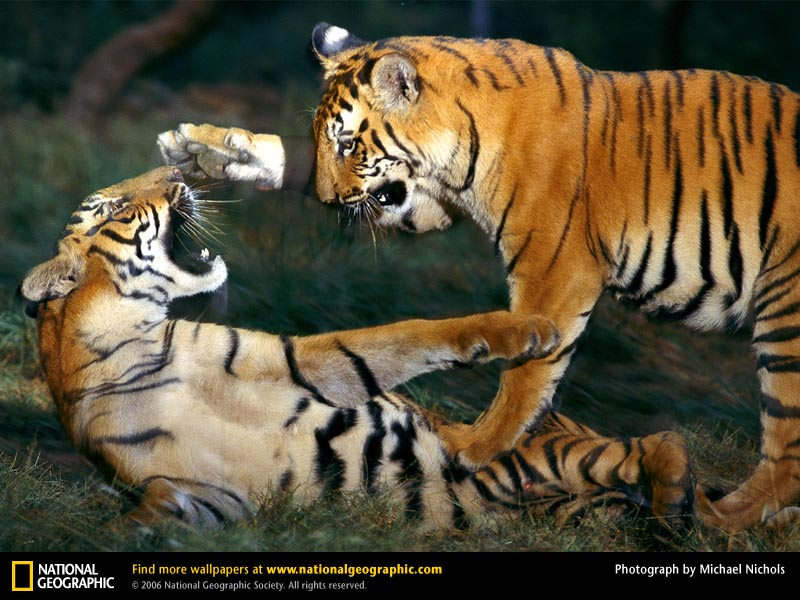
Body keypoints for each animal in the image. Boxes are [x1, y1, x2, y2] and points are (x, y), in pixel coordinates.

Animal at [18, 165, 694, 530]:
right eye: (114, 205)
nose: (181, 173)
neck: (131, 339)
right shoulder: (198, 491)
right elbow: (150, 513)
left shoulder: (299, 363)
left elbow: (406, 334)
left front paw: (528, 330)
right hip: (548, 485)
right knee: (647, 454)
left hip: (547, 451)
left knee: (658, 440)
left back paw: (679, 511)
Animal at [156, 24, 800, 532]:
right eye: (323, 142)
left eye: (348, 144)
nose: (329, 199)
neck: (458, 144)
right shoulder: (421, 201)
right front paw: (213, 150)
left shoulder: (556, 269)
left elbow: (528, 374)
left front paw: (471, 447)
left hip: (784, 314)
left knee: (785, 452)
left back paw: (714, 517)